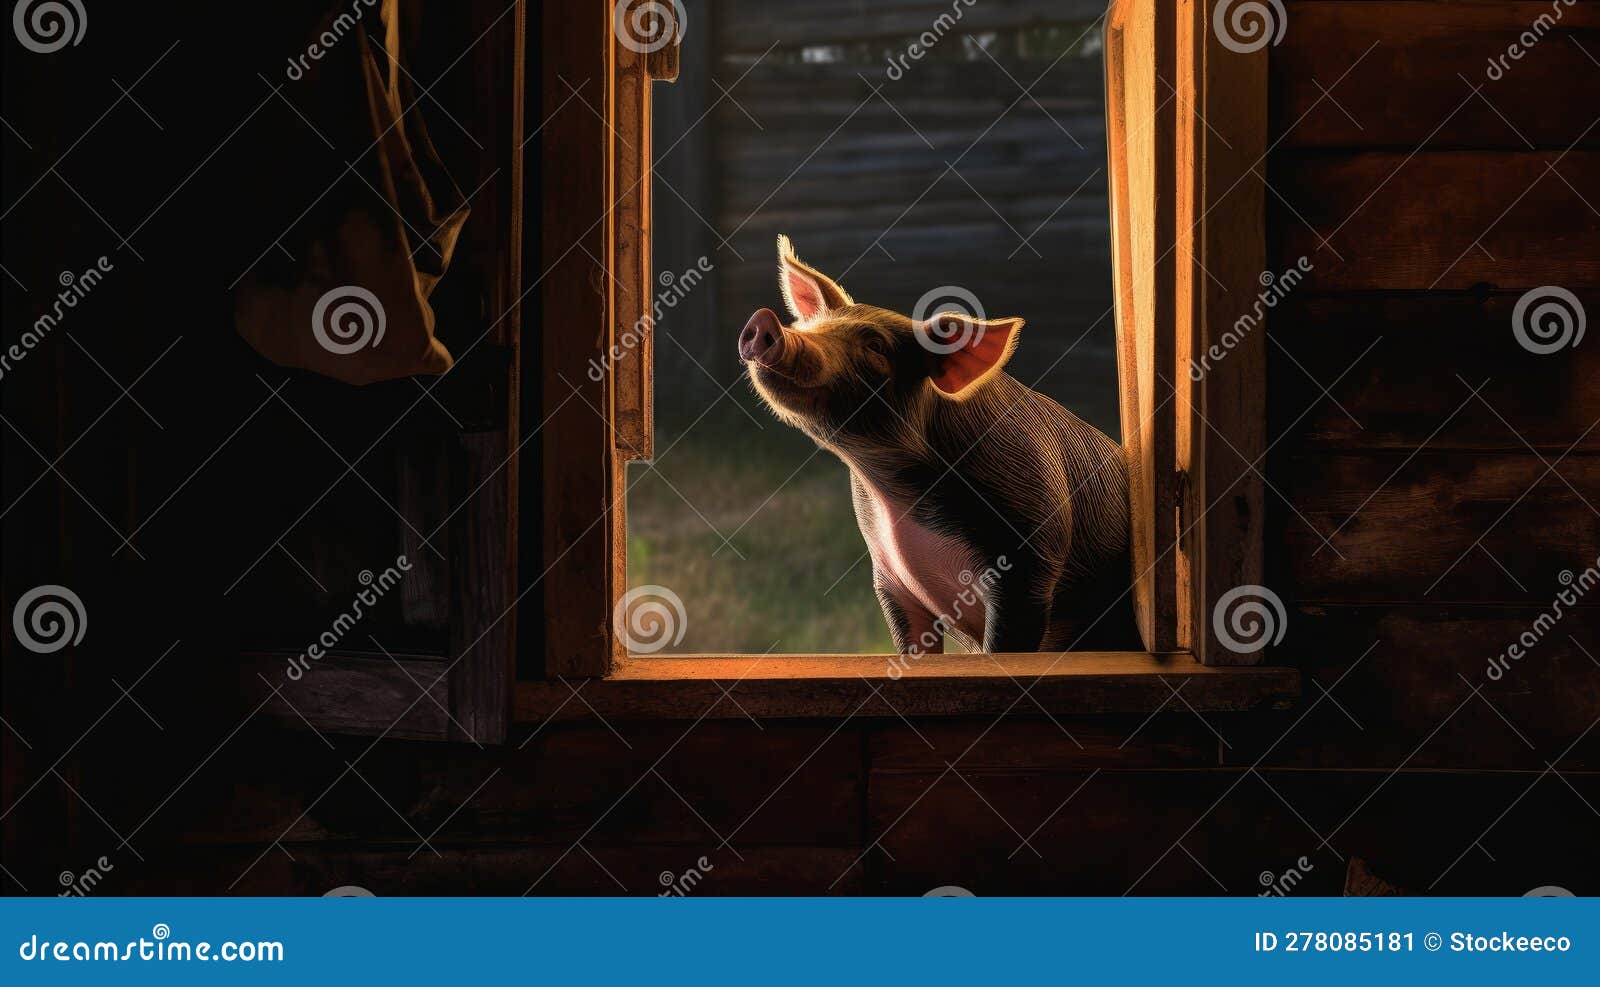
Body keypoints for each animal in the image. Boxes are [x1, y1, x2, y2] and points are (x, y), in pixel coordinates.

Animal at [738, 235, 1136, 654]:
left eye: (875, 345)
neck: (893, 491)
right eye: (813, 324)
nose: (765, 320)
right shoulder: (891, 581)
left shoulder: (1031, 560)